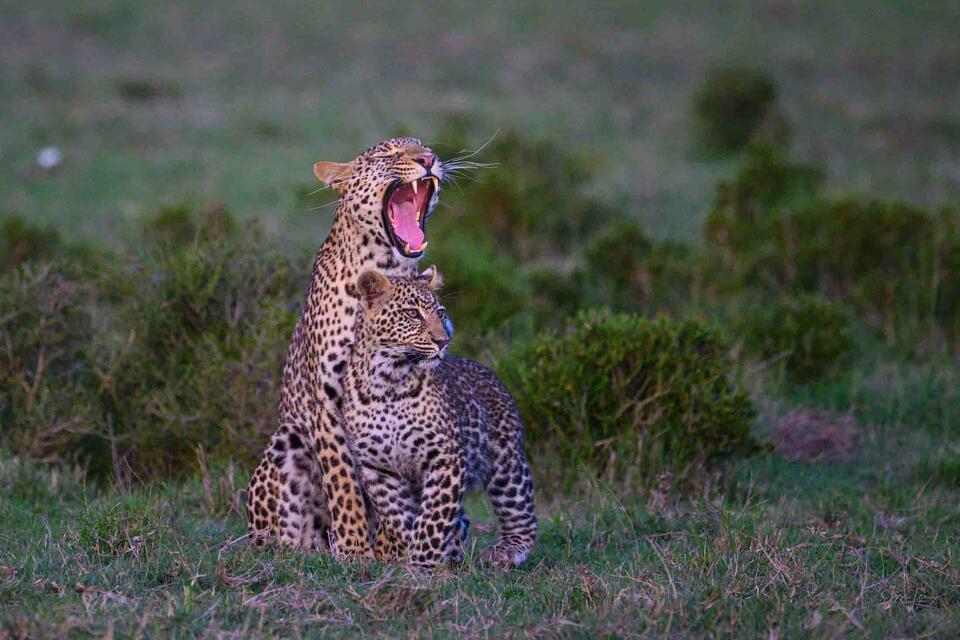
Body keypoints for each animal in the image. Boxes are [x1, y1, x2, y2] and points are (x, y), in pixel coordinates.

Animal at [246, 137, 445, 558]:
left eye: (424, 146)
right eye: (388, 153)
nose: (428, 159)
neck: (384, 268)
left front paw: (388, 549)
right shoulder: (326, 401)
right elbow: (343, 480)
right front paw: (354, 548)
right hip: (286, 442)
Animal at [340, 266, 538, 569]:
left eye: (441, 313)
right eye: (412, 313)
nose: (443, 341)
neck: (387, 381)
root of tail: (489, 372)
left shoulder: (446, 457)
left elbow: (433, 516)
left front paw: (421, 565)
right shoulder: (378, 468)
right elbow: (399, 517)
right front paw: (413, 555)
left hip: (506, 462)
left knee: (521, 513)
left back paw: (505, 552)